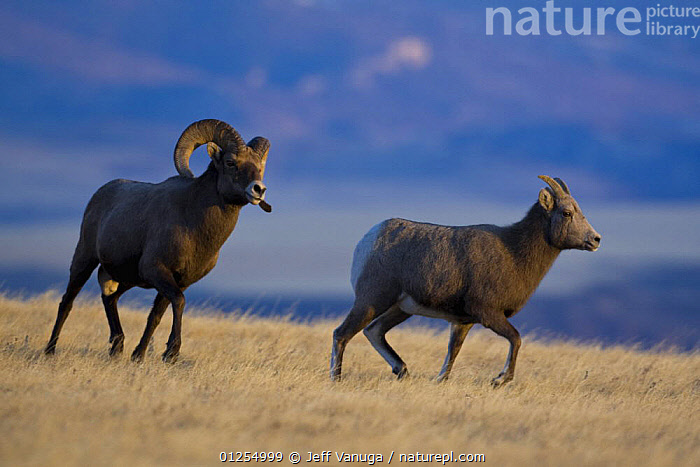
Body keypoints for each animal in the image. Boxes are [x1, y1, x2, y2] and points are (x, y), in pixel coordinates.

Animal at [44, 119, 271, 362]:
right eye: (231, 162)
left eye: (259, 166)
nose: (258, 189)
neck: (193, 223)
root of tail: (100, 194)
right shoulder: (157, 272)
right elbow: (178, 302)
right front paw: (171, 353)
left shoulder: (177, 281)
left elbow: (155, 316)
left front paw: (138, 356)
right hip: (85, 260)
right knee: (67, 302)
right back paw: (50, 350)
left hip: (126, 278)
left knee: (110, 299)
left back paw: (117, 348)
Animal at [330, 175, 601, 387]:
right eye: (567, 213)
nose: (595, 239)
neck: (513, 252)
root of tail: (371, 238)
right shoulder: (488, 313)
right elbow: (516, 338)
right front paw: (499, 380)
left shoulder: (463, 322)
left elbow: (453, 353)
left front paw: (440, 380)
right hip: (372, 301)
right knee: (342, 334)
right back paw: (337, 379)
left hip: (400, 309)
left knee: (373, 331)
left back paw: (403, 372)